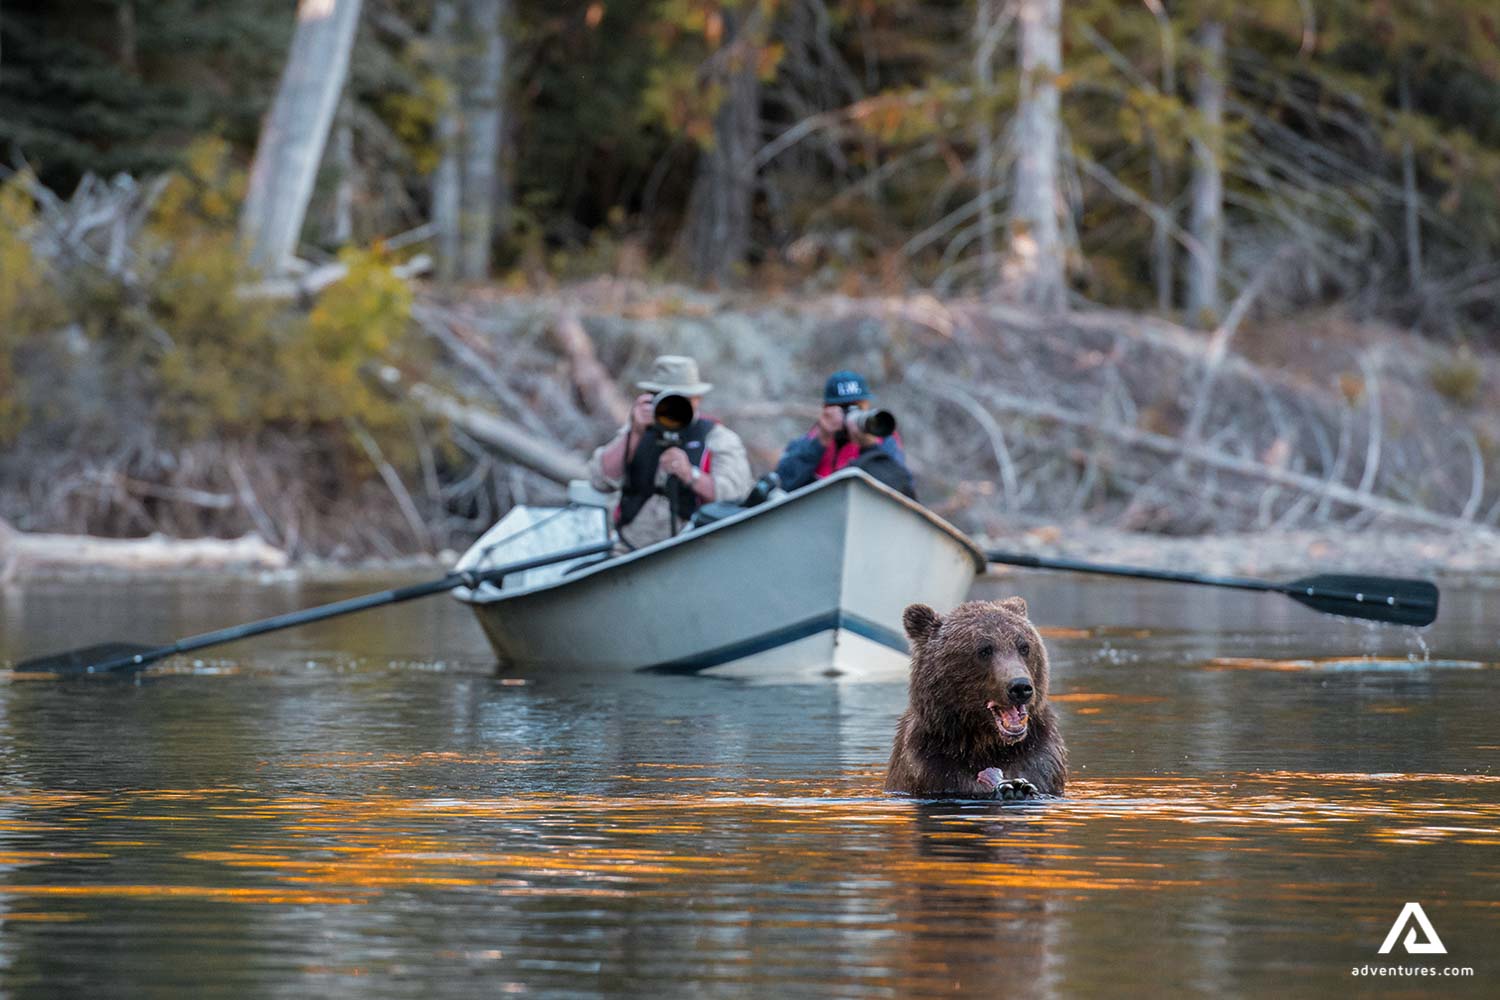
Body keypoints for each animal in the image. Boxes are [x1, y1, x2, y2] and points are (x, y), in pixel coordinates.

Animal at [884, 597, 1066, 800]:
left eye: (1024, 647)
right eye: (984, 650)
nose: (1020, 686)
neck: (984, 743)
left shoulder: (1038, 759)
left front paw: (1019, 787)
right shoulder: (931, 768)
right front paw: (1009, 788)